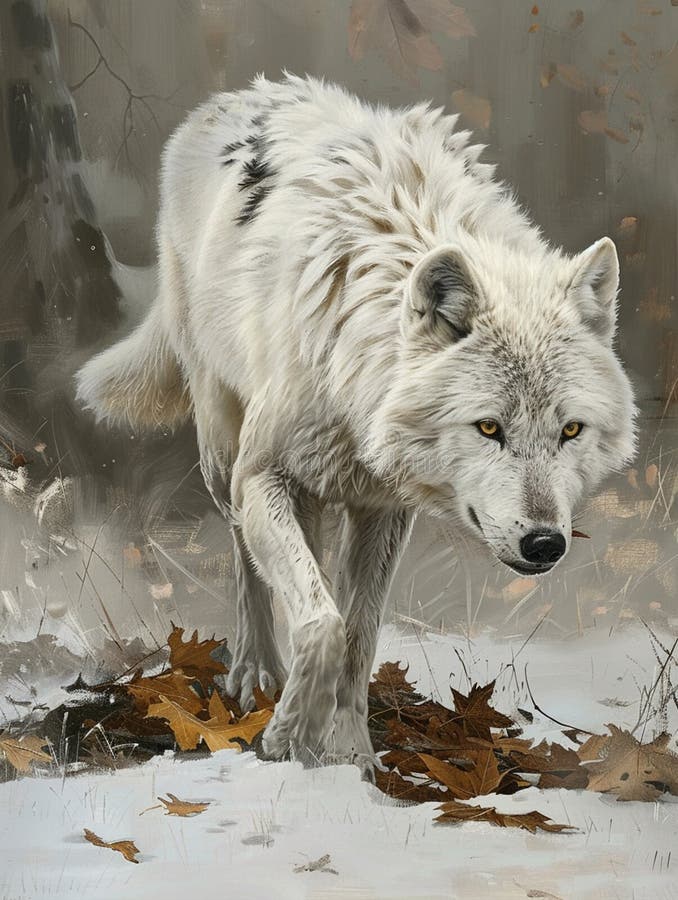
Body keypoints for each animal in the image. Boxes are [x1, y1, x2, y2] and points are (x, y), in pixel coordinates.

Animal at [75, 73, 637, 773]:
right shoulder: (267, 475)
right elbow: (323, 625)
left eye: (570, 431)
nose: (545, 545)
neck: (354, 369)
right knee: (248, 556)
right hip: (223, 448)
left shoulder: (383, 508)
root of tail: (241, 93)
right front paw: (287, 737)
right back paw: (257, 673)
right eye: (488, 428)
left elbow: (358, 632)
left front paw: (348, 753)